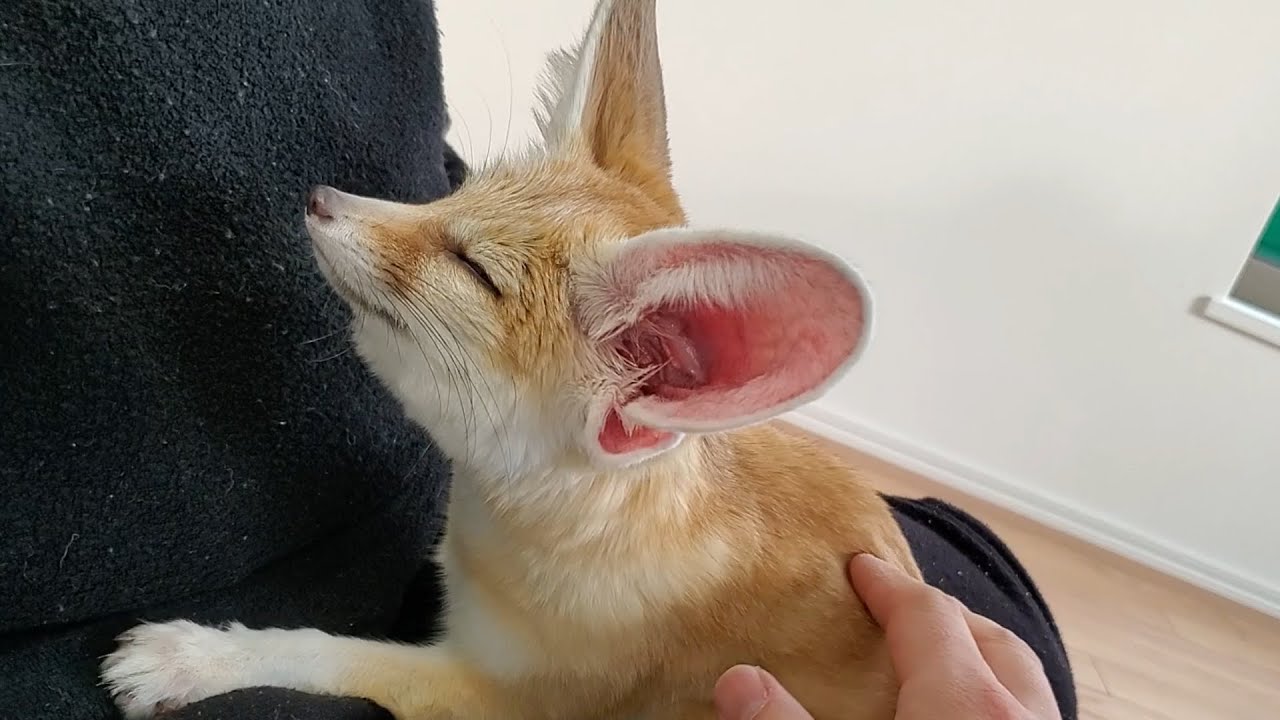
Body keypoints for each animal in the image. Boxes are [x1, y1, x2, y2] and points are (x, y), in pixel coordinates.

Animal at [100, 1, 923, 718]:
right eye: (455, 190)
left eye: (473, 269)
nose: (320, 197)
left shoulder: (499, 696)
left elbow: (331, 653)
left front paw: (201, 658)